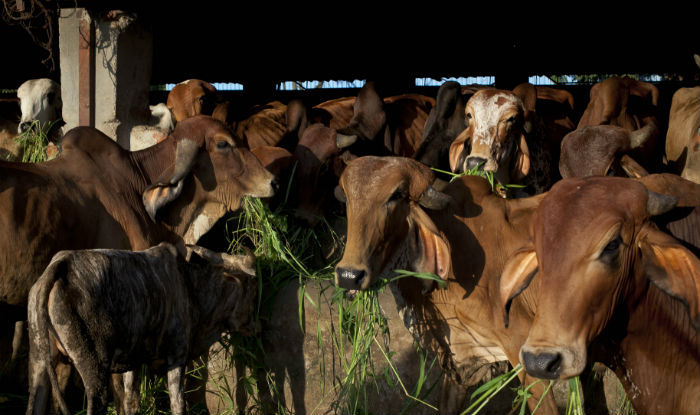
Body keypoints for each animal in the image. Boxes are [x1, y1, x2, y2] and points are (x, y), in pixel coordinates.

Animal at [26, 242, 258, 415]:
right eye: (251, 286)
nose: (255, 325)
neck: (189, 284)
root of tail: (60, 265)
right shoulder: (177, 355)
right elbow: (178, 404)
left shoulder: (133, 362)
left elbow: (131, 402)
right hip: (94, 369)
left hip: (39, 363)